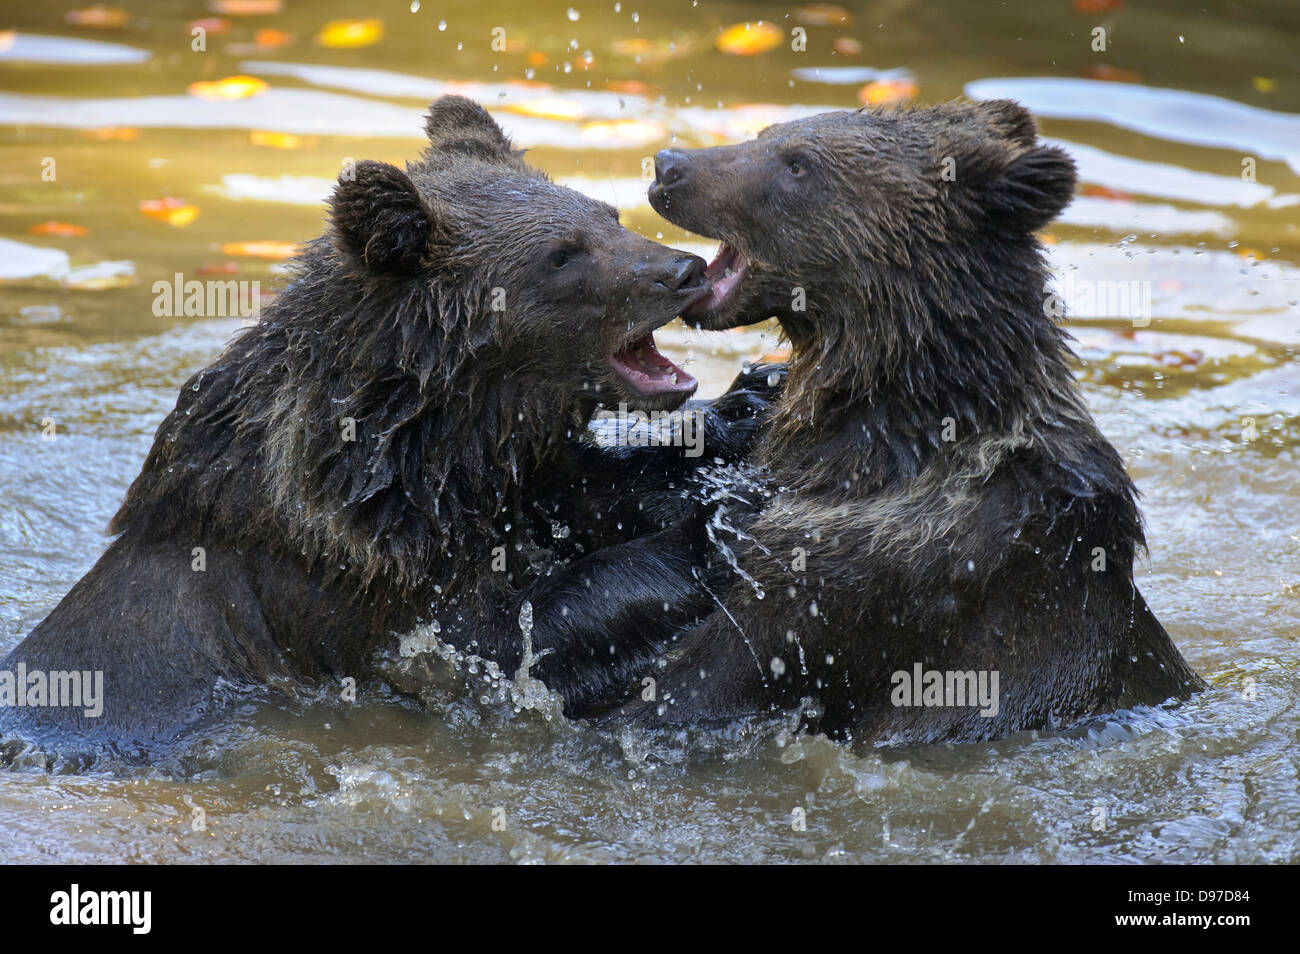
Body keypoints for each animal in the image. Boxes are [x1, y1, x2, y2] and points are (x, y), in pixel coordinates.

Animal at [0, 96, 775, 751]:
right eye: (561, 255)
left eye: (607, 214)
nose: (683, 270)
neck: (433, 443)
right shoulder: (357, 577)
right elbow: (513, 637)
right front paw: (707, 529)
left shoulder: (506, 488)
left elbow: (591, 491)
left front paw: (741, 413)